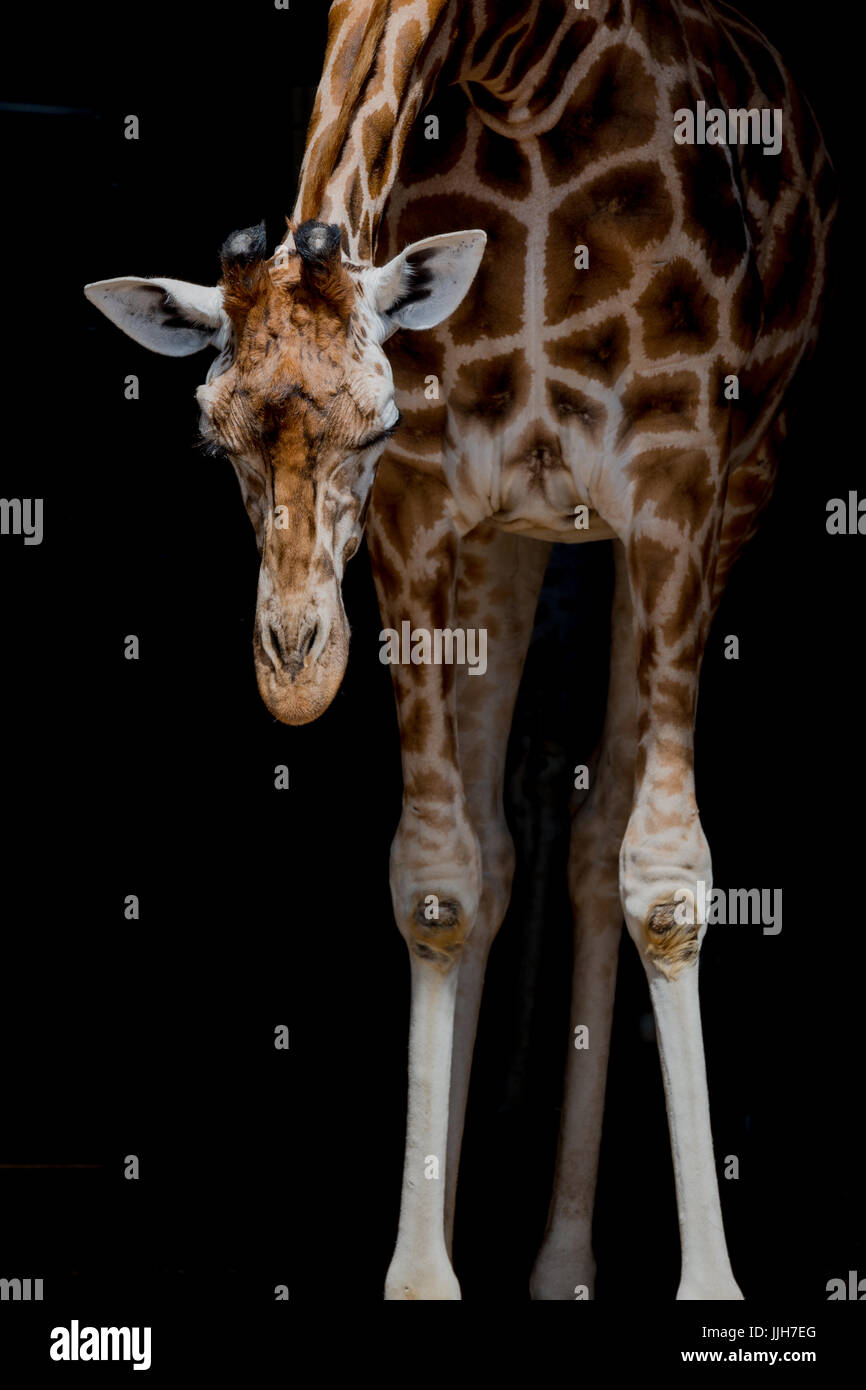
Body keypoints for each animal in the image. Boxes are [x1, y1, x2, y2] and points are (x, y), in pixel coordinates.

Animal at [84, 0, 836, 1299]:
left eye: (374, 421)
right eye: (210, 435)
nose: (295, 672)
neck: (518, 69)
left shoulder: (674, 480)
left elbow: (667, 878)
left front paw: (709, 1286)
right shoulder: (431, 506)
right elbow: (438, 877)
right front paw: (419, 1274)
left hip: (727, 490)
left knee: (595, 836)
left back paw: (567, 1262)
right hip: (518, 539)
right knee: (506, 839)